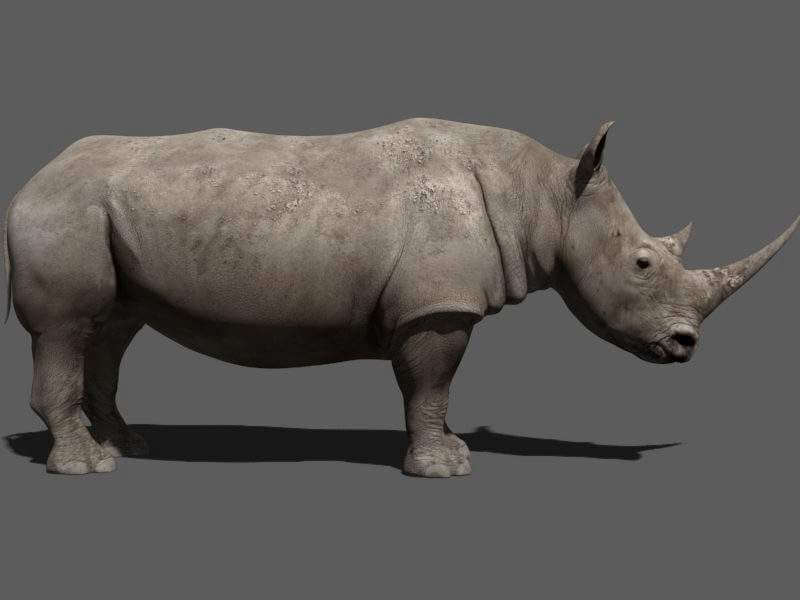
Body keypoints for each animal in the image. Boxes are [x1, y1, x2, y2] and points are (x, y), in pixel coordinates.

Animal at [3, 118, 797, 476]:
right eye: (641, 263)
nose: (687, 346)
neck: (545, 193)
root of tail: (33, 177)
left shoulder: (433, 300)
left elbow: (429, 386)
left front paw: (448, 452)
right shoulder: (437, 304)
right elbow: (431, 382)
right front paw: (444, 465)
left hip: (98, 212)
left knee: (112, 327)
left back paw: (129, 445)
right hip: (64, 209)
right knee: (67, 328)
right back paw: (87, 466)